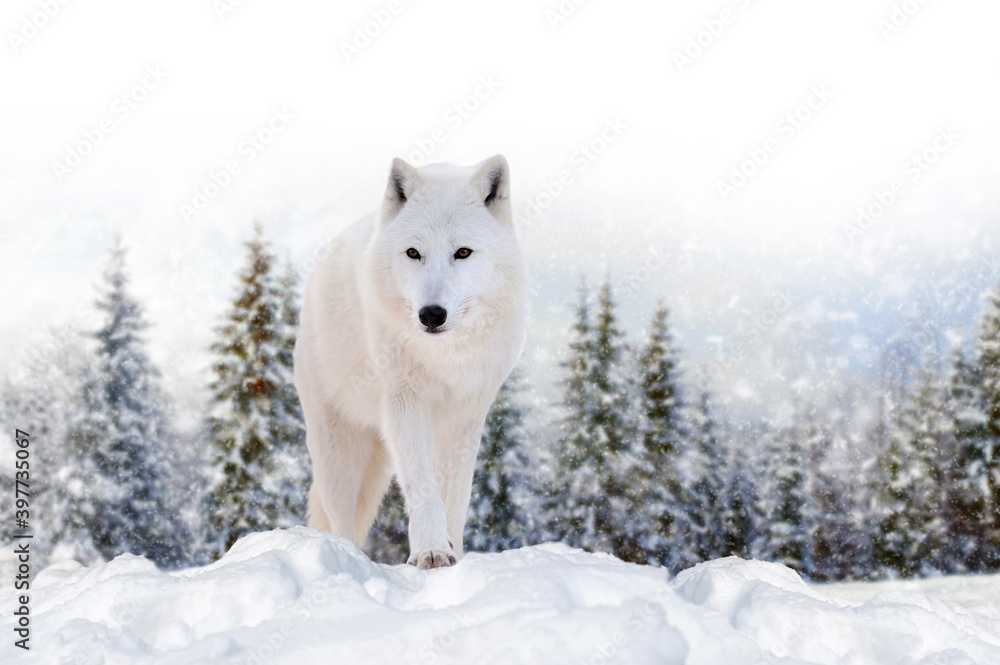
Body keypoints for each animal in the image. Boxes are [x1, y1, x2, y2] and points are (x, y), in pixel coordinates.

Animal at [294, 155, 528, 569]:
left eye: (463, 252)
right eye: (413, 253)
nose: (431, 314)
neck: (445, 358)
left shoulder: (466, 417)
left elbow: (456, 497)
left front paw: (453, 552)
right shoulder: (405, 404)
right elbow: (421, 487)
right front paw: (431, 551)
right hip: (337, 451)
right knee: (340, 519)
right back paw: (347, 557)